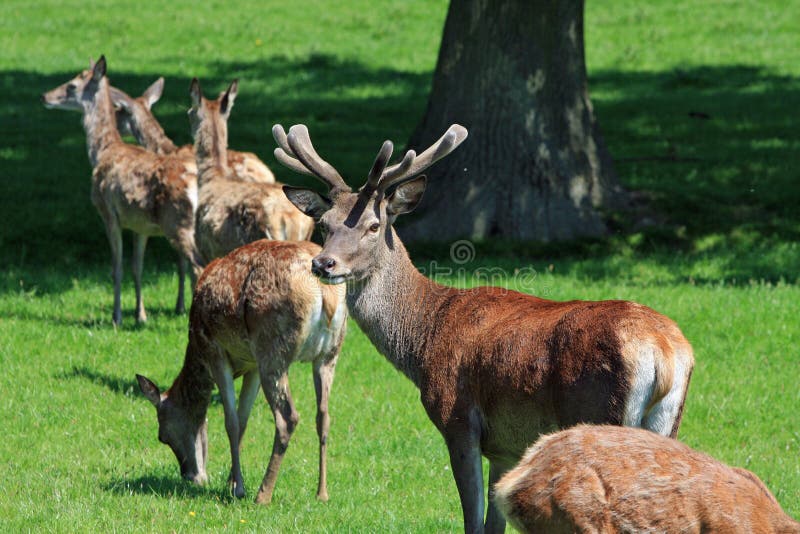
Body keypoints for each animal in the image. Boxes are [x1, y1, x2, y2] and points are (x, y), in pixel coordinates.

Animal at [41, 56, 203, 325]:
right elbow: (137, 267)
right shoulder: (140, 225)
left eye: (72, 85)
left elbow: (116, 268)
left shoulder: (108, 214)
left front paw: (117, 317)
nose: (45, 96)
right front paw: (140, 316)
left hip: (178, 223)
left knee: (198, 266)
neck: (103, 152)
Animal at [136, 239, 347, 504]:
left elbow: (232, 421)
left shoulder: (216, 351)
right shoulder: (252, 365)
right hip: (329, 353)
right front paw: (232, 480)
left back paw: (263, 494)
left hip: (273, 350)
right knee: (324, 415)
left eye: (162, 436)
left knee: (288, 418)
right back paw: (322, 492)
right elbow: (244, 418)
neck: (196, 350)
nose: (189, 475)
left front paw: (238, 488)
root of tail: (325, 294)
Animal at [273, 123, 696, 533]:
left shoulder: (458, 418)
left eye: (374, 225)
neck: (423, 341)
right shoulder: (505, 446)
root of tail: (664, 353)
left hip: (598, 412)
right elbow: (494, 523)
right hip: (666, 422)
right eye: (324, 224)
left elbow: (473, 521)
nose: (324, 264)